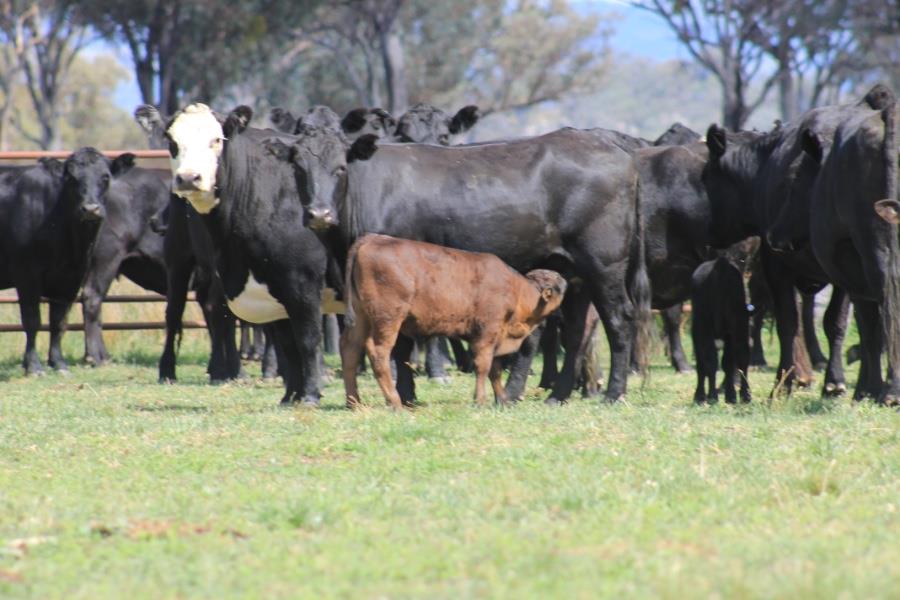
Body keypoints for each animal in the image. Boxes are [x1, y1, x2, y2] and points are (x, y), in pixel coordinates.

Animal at [0, 148, 133, 375]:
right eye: (71, 178)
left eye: (105, 177)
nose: (90, 209)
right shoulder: (26, 274)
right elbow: (32, 320)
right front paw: (33, 366)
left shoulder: (70, 277)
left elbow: (59, 321)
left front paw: (58, 363)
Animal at [136, 103, 328, 405]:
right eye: (172, 141)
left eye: (216, 140)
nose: (189, 178)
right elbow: (295, 338)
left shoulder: (293, 283)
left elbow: (300, 337)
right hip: (179, 258)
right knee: (178, 311)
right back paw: (174, 371)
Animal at [342, 234, 566, 408]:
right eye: (558, 284)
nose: (563, 276)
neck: (518, 291)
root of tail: (374, 238)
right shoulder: (487, 334)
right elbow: (484, 366)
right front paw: (480, 400)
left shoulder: (494, 338)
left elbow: (495, 370)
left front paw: (501, 400)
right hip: (388, 320)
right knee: (378, 352)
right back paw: (395, 402)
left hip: (361, 318)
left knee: (350, 351)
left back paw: (354, 403)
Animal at [691, 256, 752, 404]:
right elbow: (726, 362)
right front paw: (731, 395)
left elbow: (705, 363)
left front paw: (701, 395)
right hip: (739, 325)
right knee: (741, 355)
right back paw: (744, 395)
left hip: (705, 327)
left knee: (711, 360)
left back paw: (712, 396)